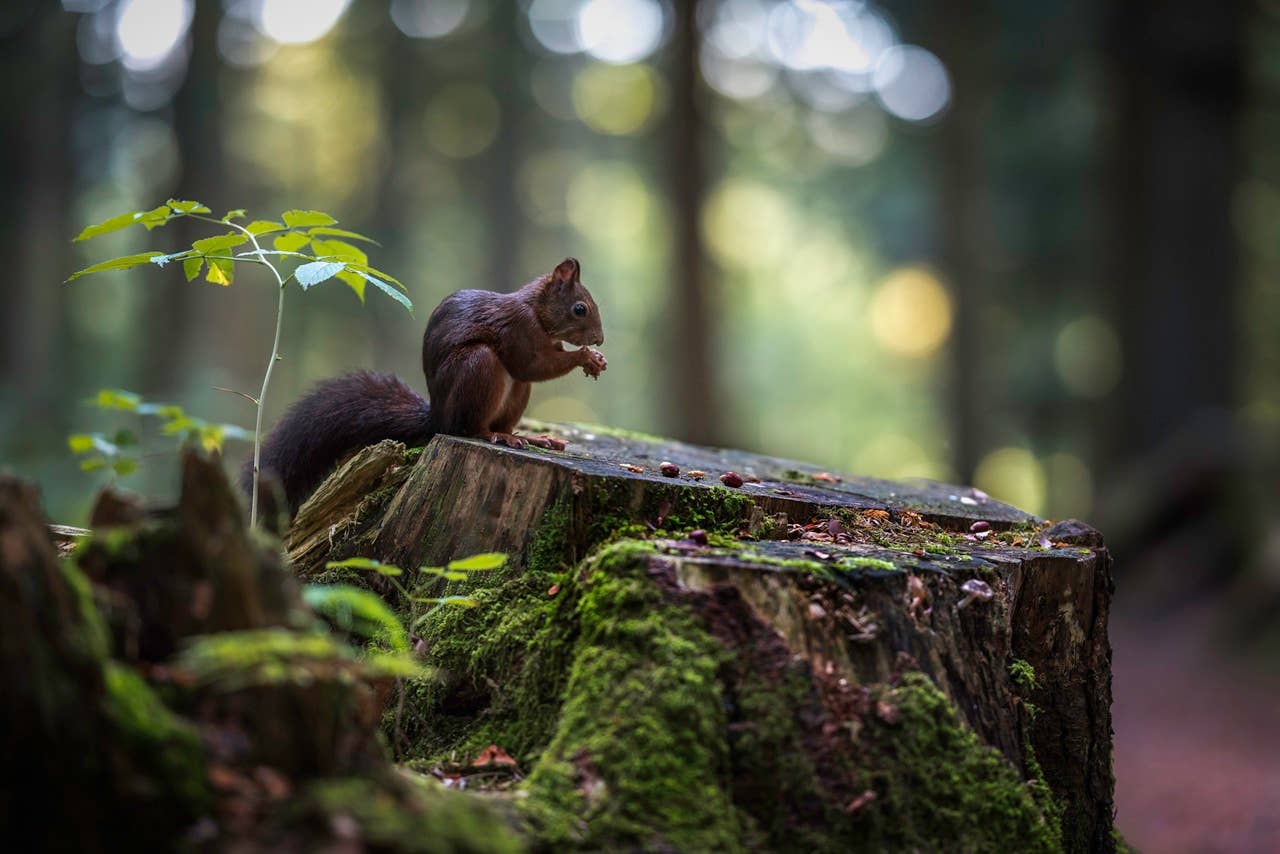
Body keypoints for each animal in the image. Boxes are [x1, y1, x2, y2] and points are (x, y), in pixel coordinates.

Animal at [242, 257, 606, 514]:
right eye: (580, 308)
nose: (600, 339)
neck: (537, 310)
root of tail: (437, 416)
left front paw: (593, 359)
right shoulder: (519, 329)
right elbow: (532, 365)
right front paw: (586, 357)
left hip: (514, 392)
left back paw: (528, 437)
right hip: (478, 366)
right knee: (468, 426)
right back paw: (494, 435)